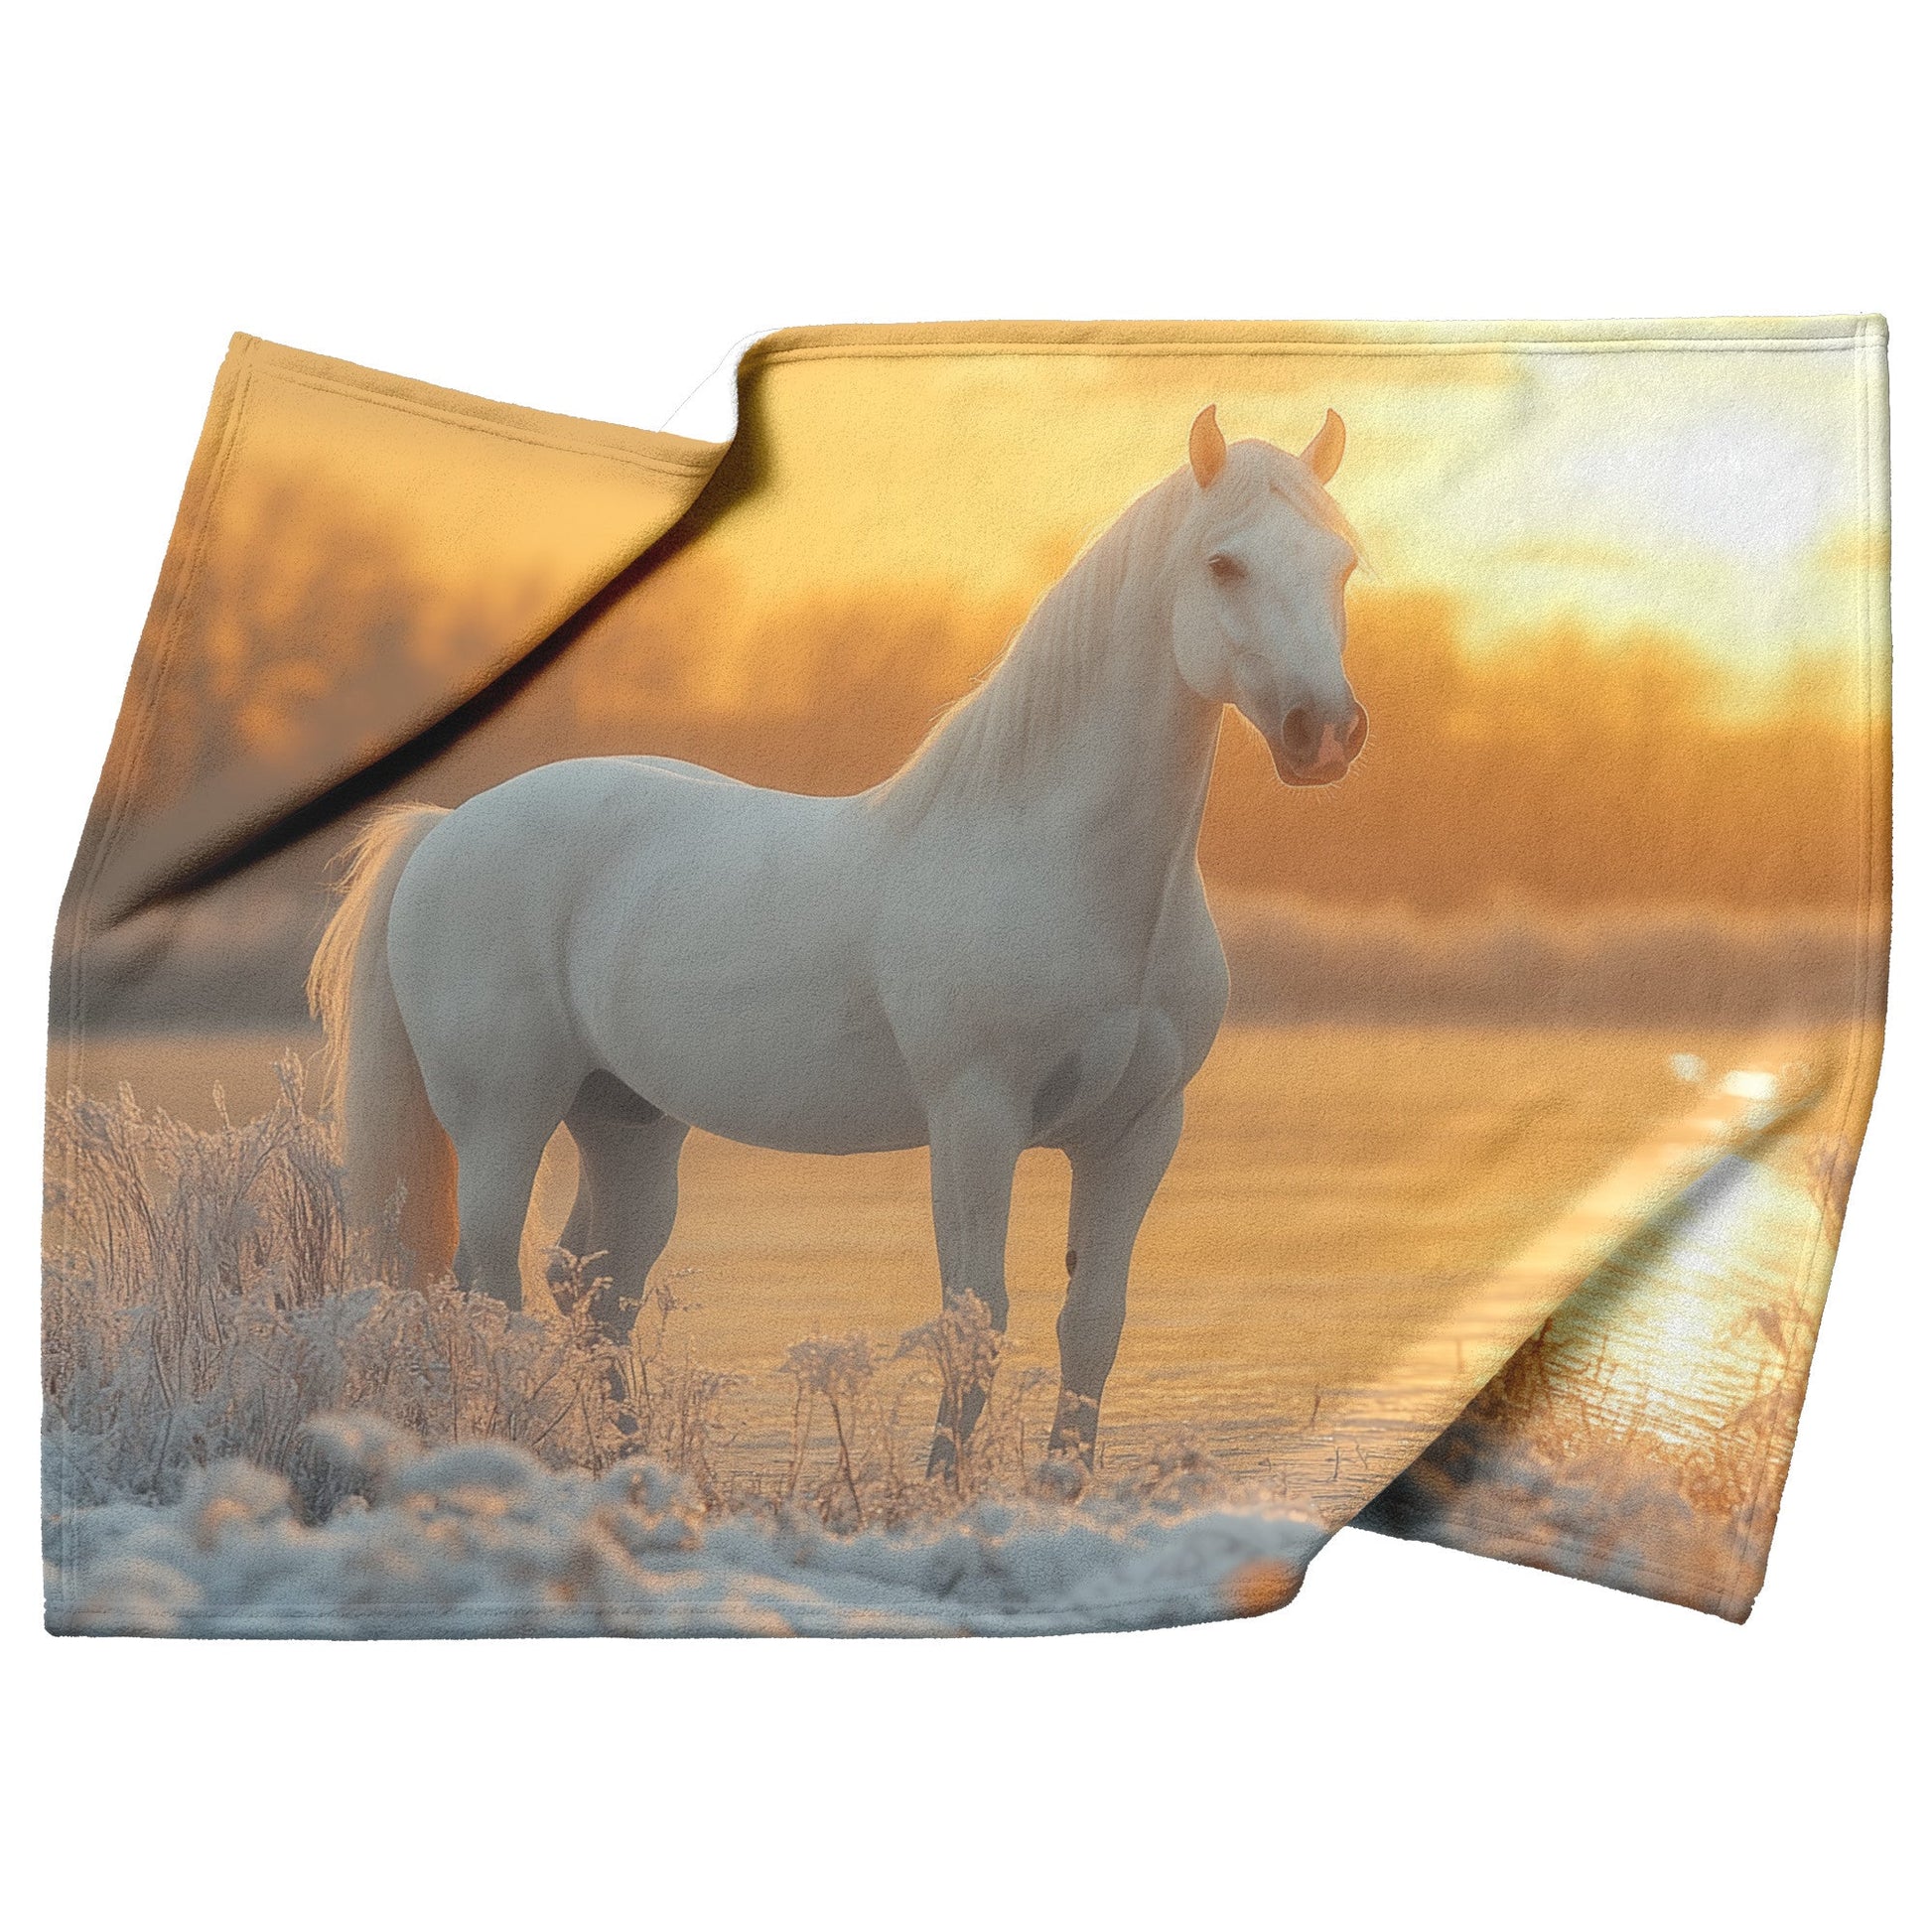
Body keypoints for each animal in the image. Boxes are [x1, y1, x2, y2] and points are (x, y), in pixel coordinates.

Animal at [307, 403, 1367, 1472]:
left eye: (1342, 562)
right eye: (1223, 564)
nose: (1324, 732)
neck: (1062, 865)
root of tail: (447, 826)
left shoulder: (1139, 1131)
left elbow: (1093, 1324)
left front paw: (1061, 1487)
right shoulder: (976, 1118)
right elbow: (974, 1318)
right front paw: (942, 1493)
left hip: (627, 1120)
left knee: (593, 1288)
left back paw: (628, 1464)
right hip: (503, 1118)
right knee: (489, 1291)